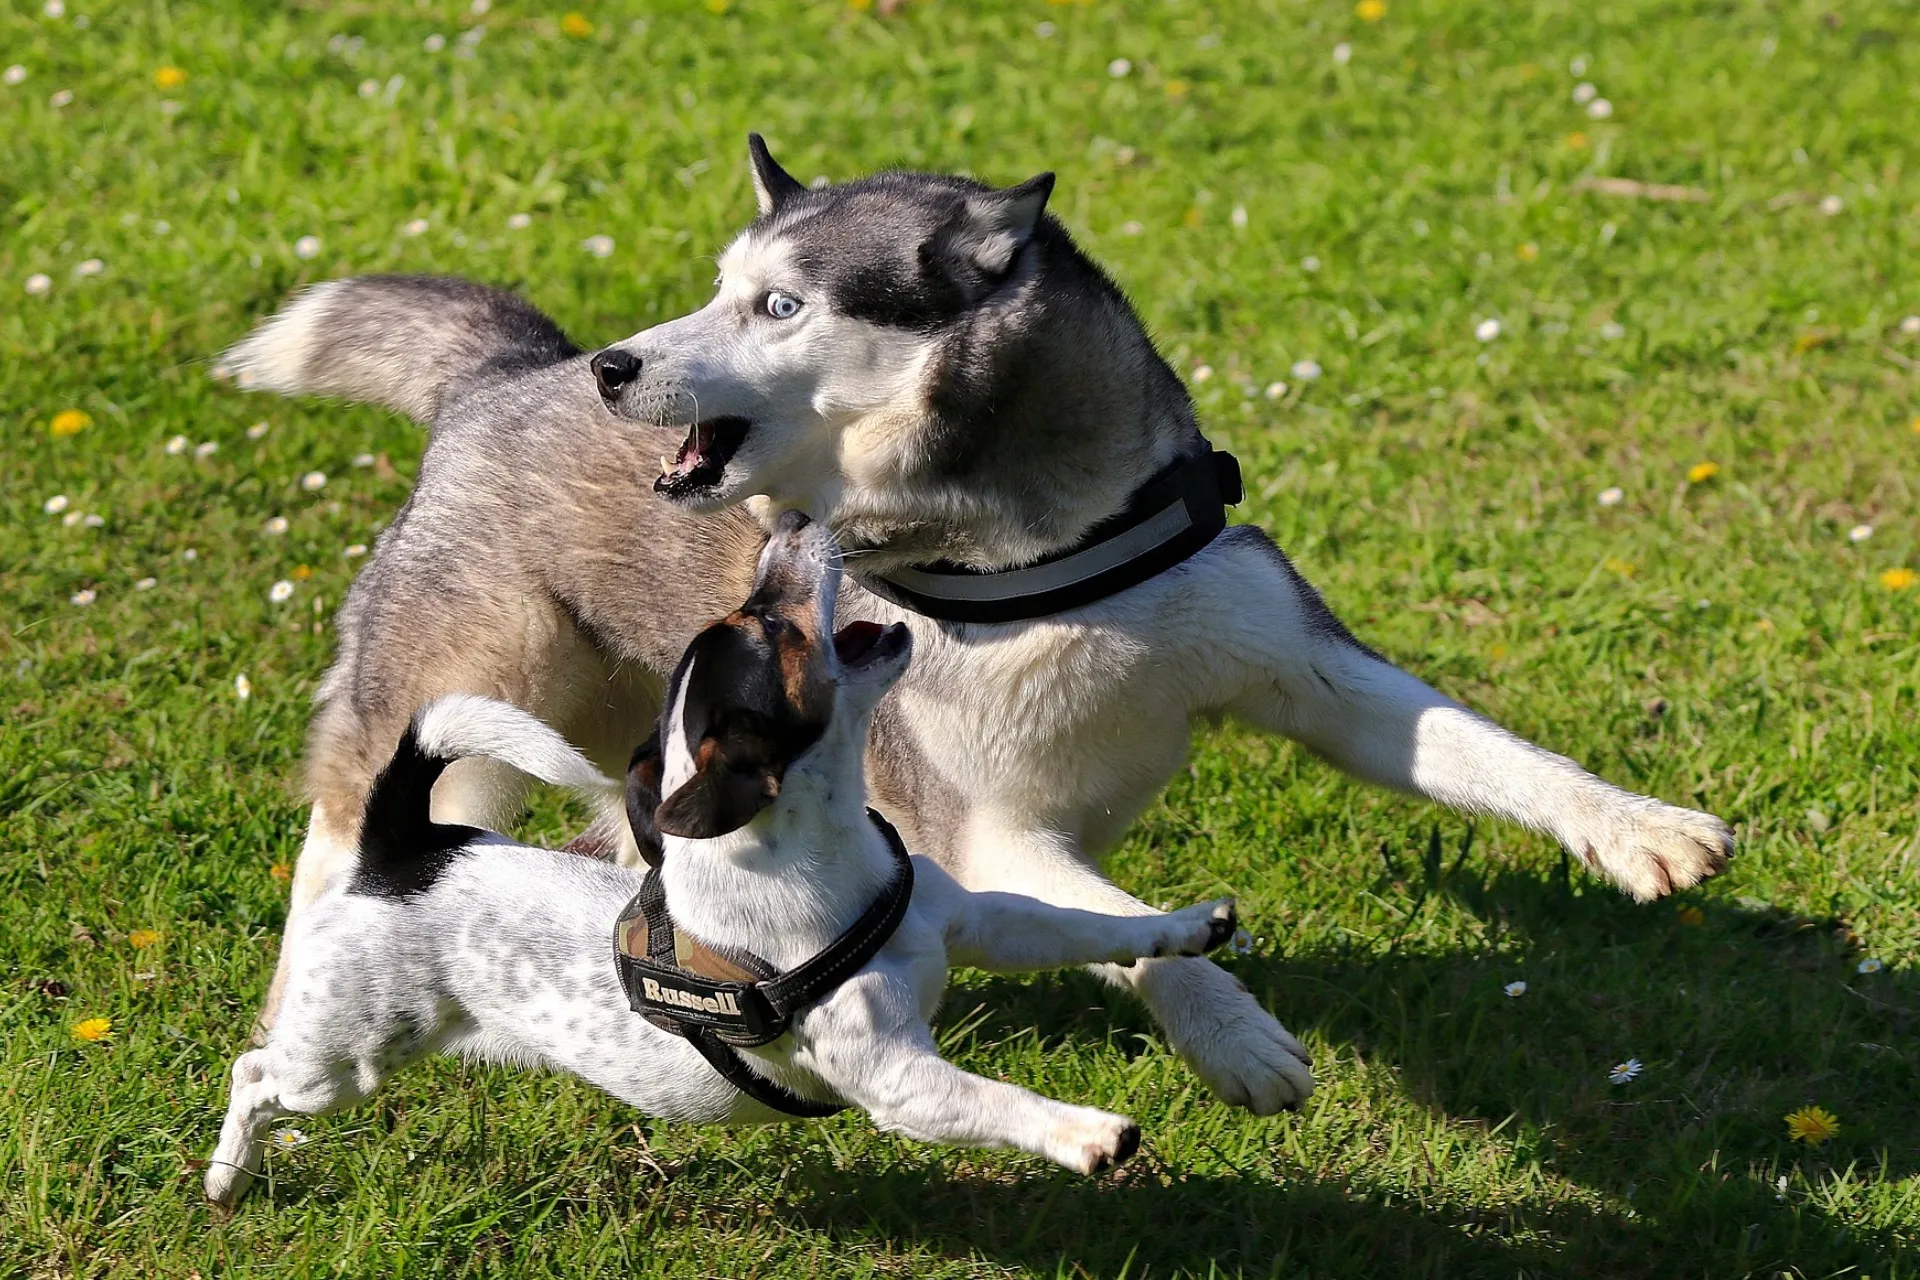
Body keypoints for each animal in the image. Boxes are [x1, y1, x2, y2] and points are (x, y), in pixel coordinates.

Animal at [228, 132, 1743, 1113]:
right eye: (720, 288)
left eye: (777, 302)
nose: (618, 367)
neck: (1043, 556)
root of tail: (507, 371)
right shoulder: (982, 824)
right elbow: (1123, 924)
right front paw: (1234, 1032)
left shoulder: (1301, 665)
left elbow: (1479, 749)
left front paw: (1637, 828)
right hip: (457, 692)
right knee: (347, 837)